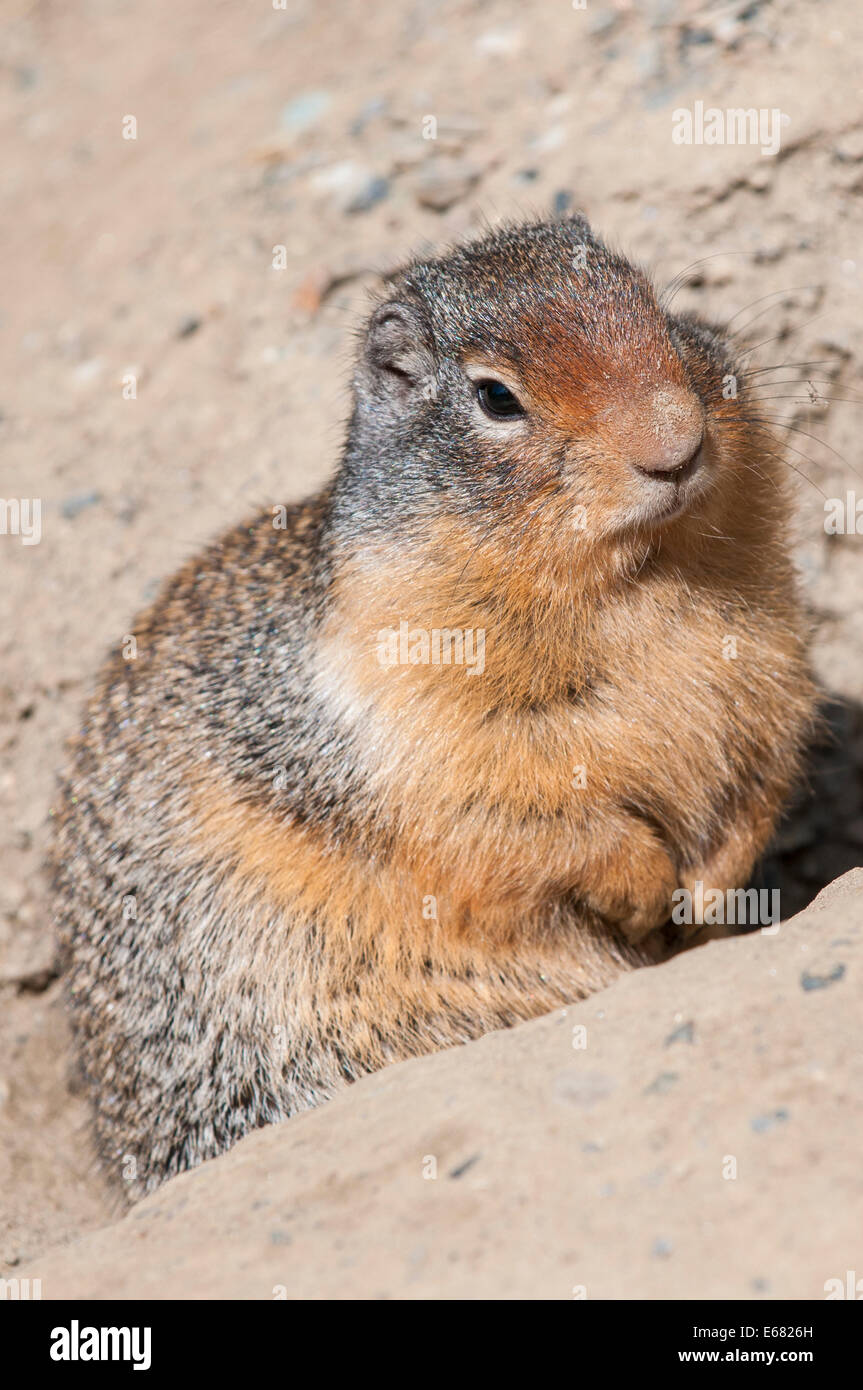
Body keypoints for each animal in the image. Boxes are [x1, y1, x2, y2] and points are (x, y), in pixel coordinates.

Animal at [51, 215, 817, 1196]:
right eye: (495, 398)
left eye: (655, 307)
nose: (675, 444)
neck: (642, 580)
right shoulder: (417, 726)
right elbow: (511, 826)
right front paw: (644, 887)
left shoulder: (768, 658)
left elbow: (760, 768)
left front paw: (709, 891)